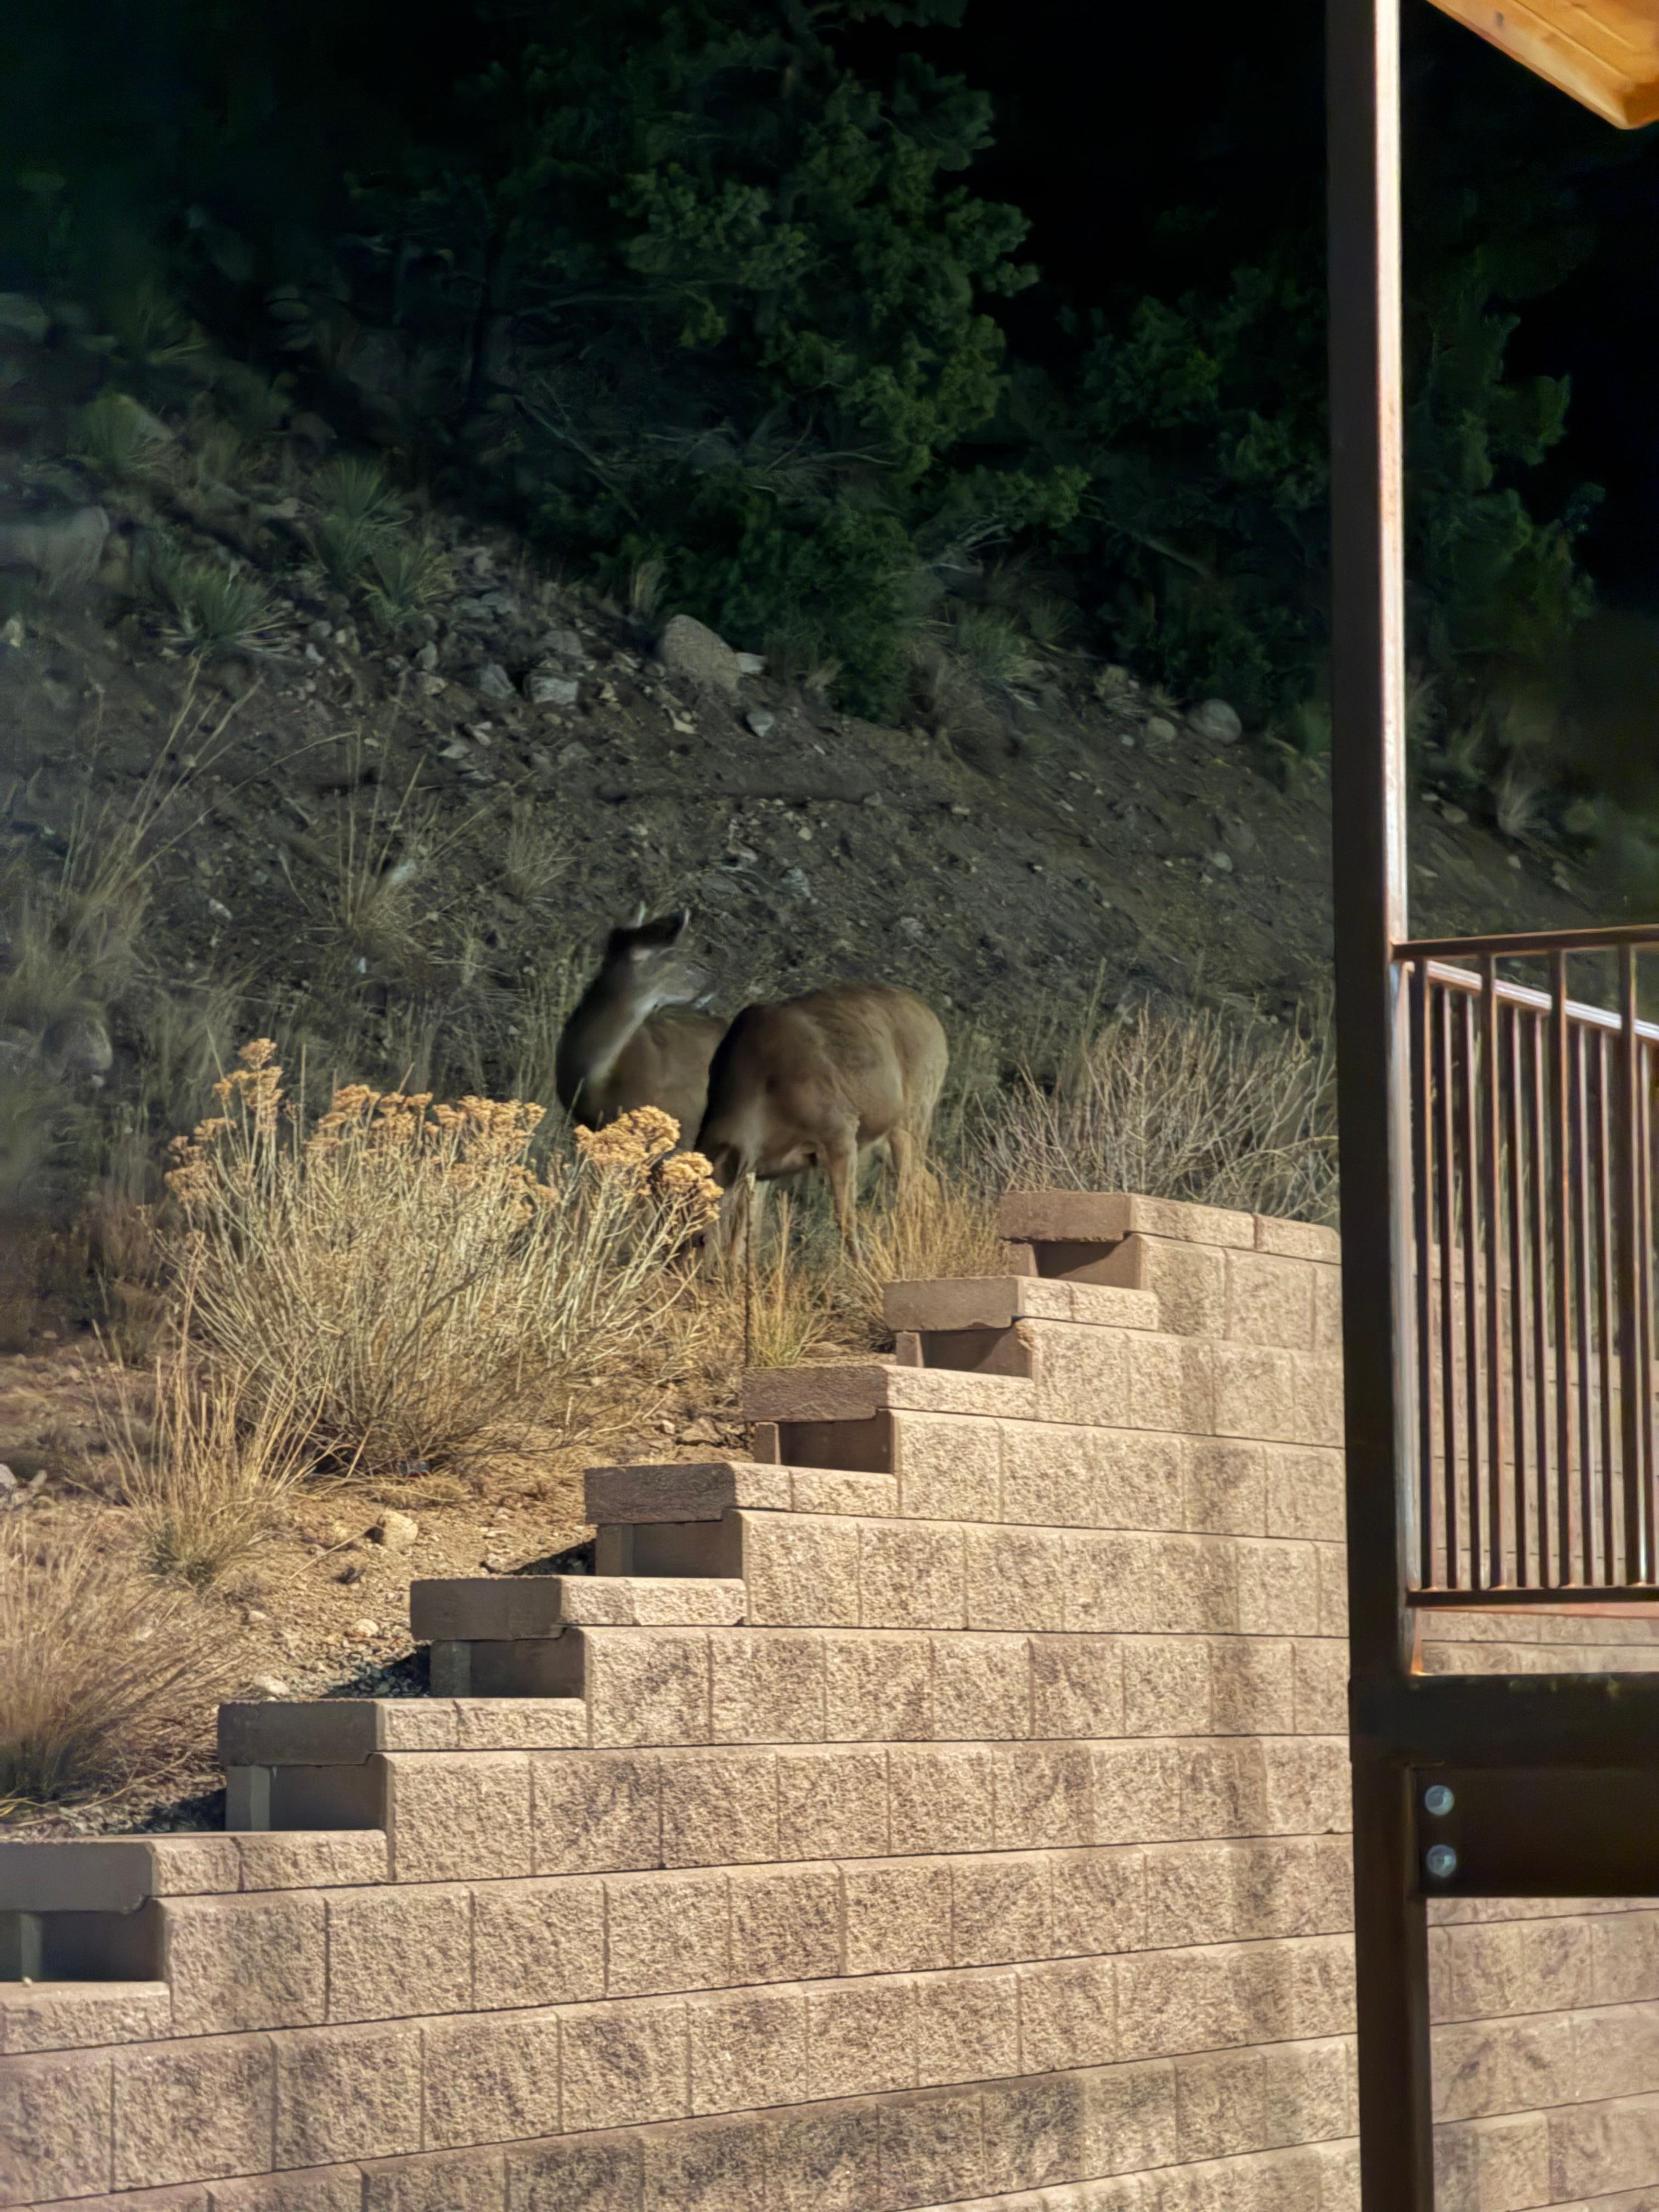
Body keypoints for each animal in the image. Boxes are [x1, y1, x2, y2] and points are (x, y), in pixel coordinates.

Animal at [695, 982, 949, 1264]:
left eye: (701, 1239)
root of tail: (933, 1020)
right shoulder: (760, 1167)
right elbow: (744, 1235)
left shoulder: (840, 1130)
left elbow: (844, 1217)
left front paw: (861, 1268)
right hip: (885, 1141)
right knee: (927, 1182)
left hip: (914, 1116)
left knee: (909, 1190)